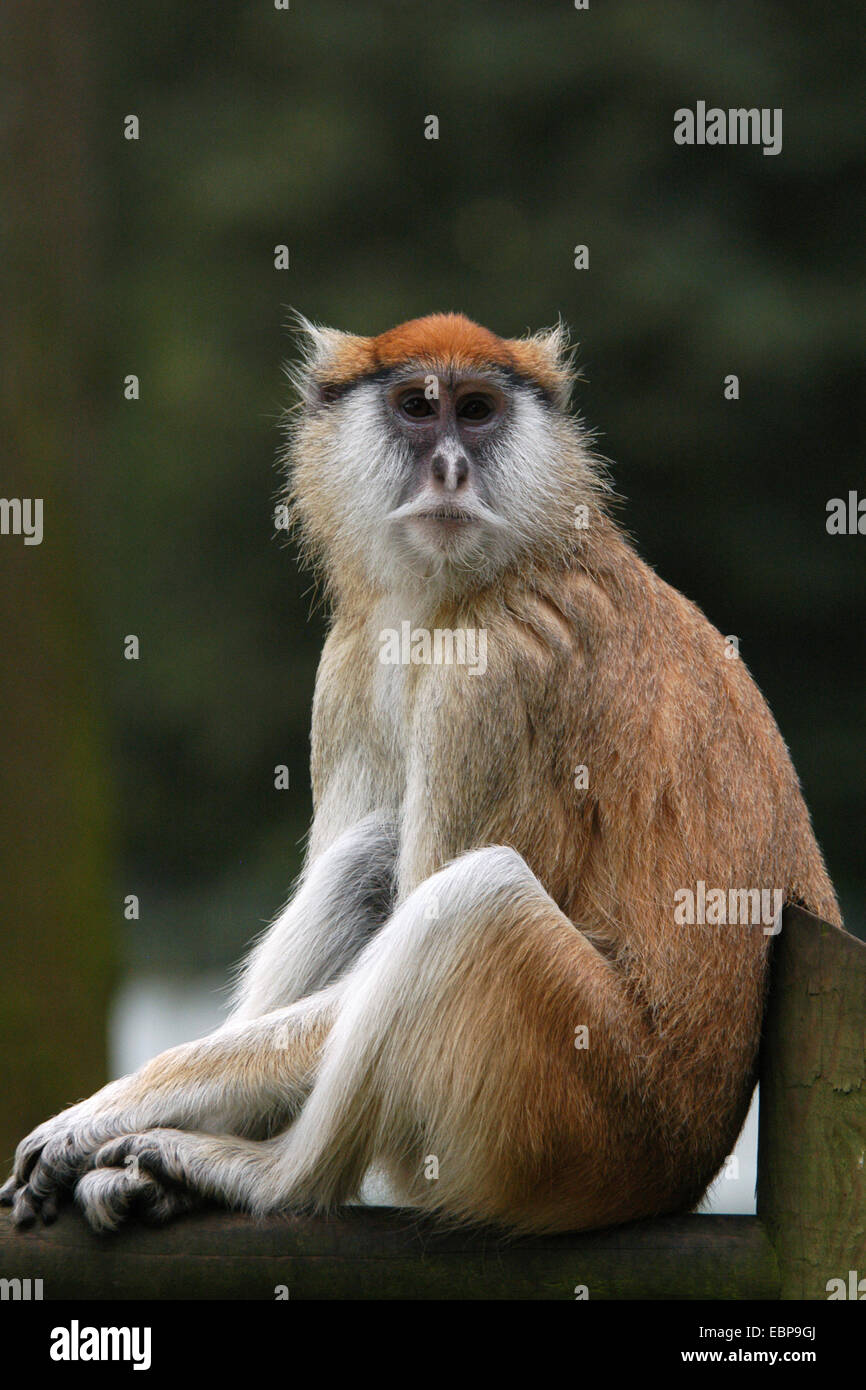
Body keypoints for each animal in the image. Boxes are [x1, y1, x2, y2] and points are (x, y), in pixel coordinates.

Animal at [1, 312, 841, 1237]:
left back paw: (273, 1176)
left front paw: (100, 1113)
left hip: (581, 1116)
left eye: (475, 410)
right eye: (416, 406)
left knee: (476, 900)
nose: (450, 467)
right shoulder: (350, 658)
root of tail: (684, 1170)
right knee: (378, 852)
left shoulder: (493, 678)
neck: (485, 578)